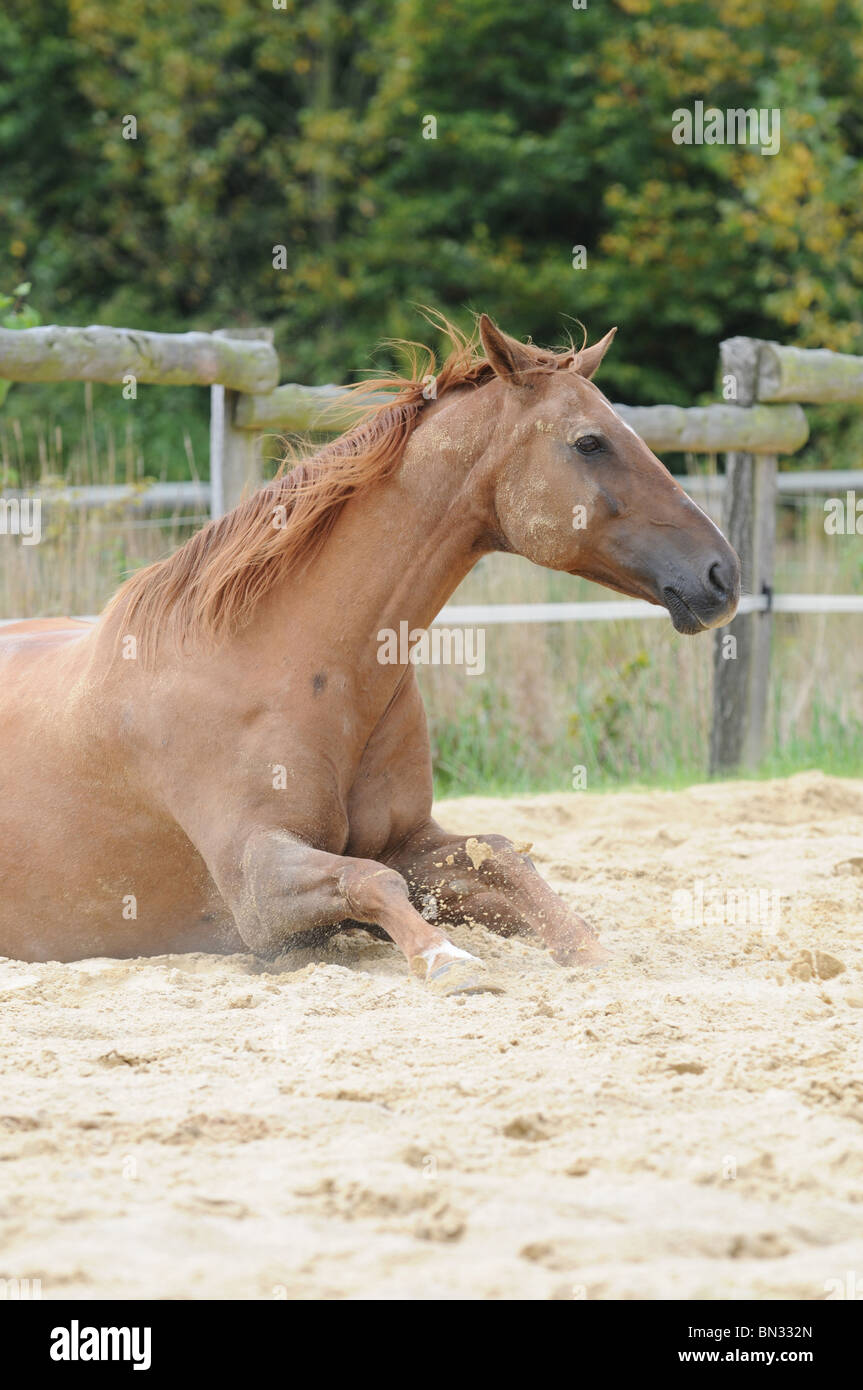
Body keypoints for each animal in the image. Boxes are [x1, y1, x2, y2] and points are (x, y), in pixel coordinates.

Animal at [0, 315, 739, 993]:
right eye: (589, 442)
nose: (722, 576)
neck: (291, 668)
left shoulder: (410, 840)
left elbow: (503, 859)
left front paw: (586, 949)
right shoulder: (257, 886)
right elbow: (375, 882)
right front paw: (446, 960)